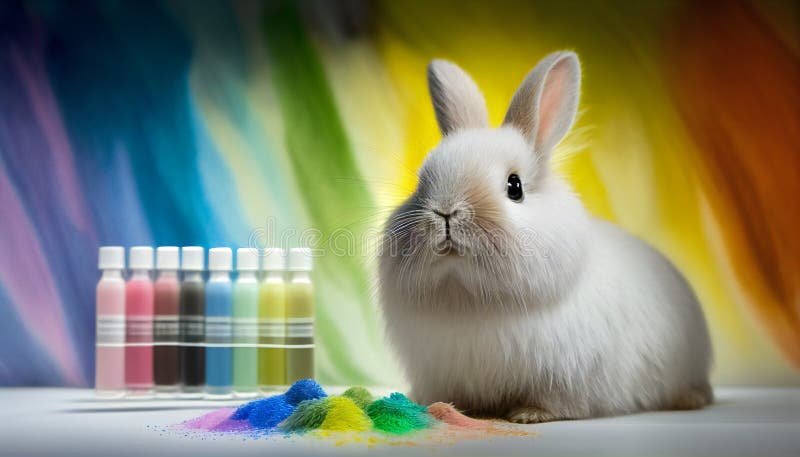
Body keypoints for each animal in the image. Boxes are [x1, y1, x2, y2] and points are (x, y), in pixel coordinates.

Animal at [377, 51, 713, 423]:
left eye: (515, 187)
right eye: (421, 184)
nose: (445, 211)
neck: (471, 299)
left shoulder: (567, 376)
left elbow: (557, 402)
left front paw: (528, 415)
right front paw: (439, 407)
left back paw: (690, 399)